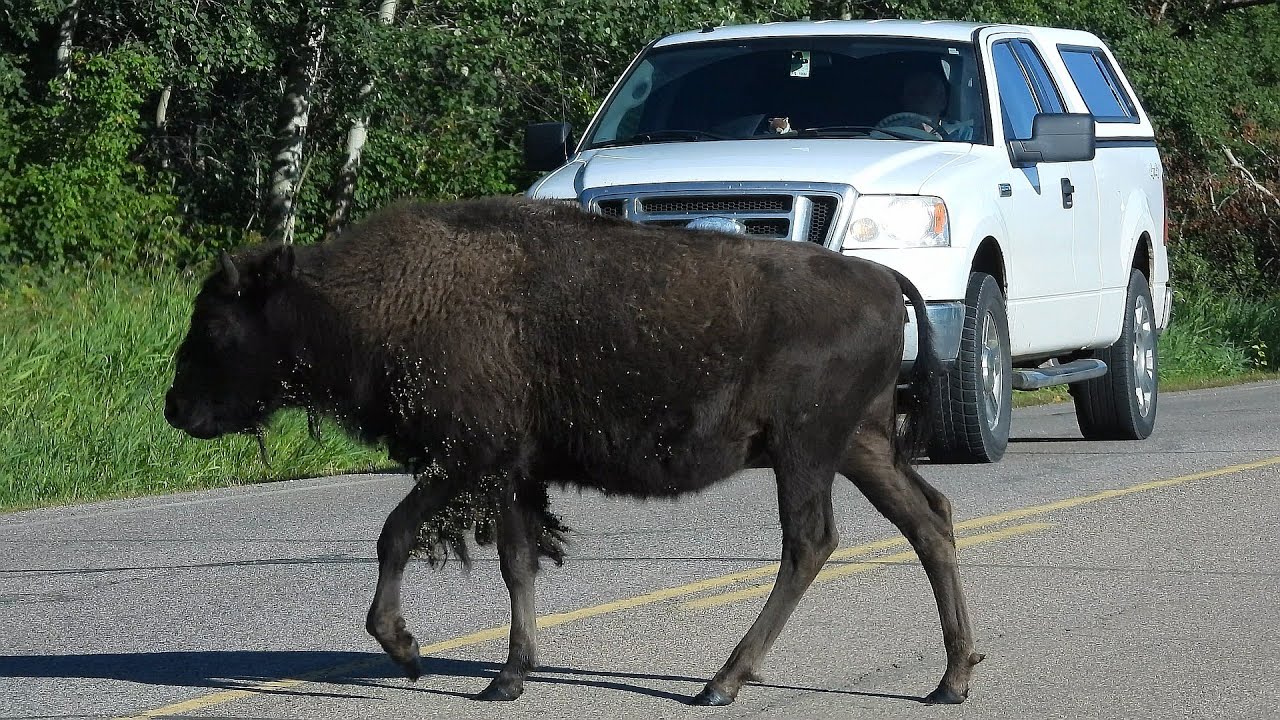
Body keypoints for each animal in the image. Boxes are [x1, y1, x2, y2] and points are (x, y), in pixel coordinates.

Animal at [164, 196, 982, 705]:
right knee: (928, 519)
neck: (377, 298)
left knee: (811, 540)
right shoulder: (512, 473)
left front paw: (407, 649)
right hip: (858, 448)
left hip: (804, 449)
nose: (175, 407)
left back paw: (720, 682)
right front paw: (507, 678)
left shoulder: (469, 457)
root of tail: (882, 277)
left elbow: (397, 533)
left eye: (217, 321)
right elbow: (517, 563)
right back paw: (951, 679)